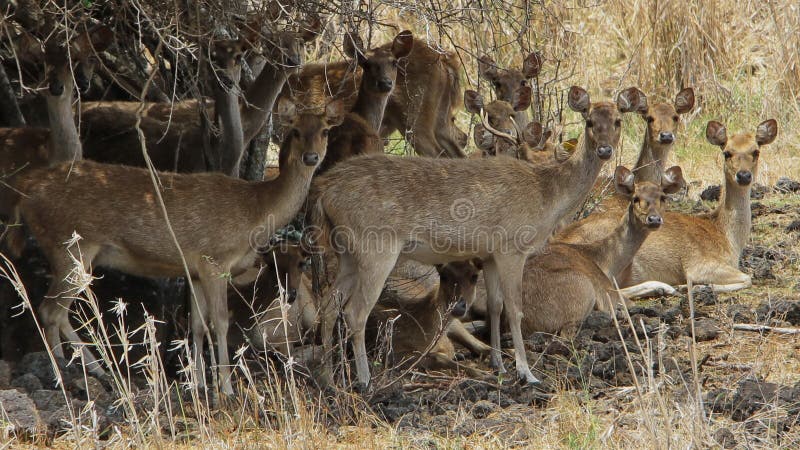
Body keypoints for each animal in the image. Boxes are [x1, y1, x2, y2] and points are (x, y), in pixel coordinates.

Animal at [4, 98, 344, 395]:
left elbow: (196, 325)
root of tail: (25, 192)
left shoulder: (193, 270)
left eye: (325, 131)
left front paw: (198, 383)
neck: (256, 211)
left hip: (71, 253)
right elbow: (220, 322)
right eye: (296, 130)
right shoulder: (214, 259)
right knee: (50, 309)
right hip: (70, 246)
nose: (311, 158)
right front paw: (225, 387)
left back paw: (97, 370)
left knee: (57, 311)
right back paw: (65, 374)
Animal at [308, 85, 646, 388]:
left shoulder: (490, 253)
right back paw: (364, 380)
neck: (546, 199)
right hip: (376, 246)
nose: (605, 150)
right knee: (355, 311)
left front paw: (499, 363)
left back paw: (328, 378)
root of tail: (324, 191)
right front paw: (526, 372)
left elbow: (496, 305)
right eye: (589, 120)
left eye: (618, 120)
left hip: (347, 251)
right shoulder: (512, 246)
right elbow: (515, 309)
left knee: (328, 304)